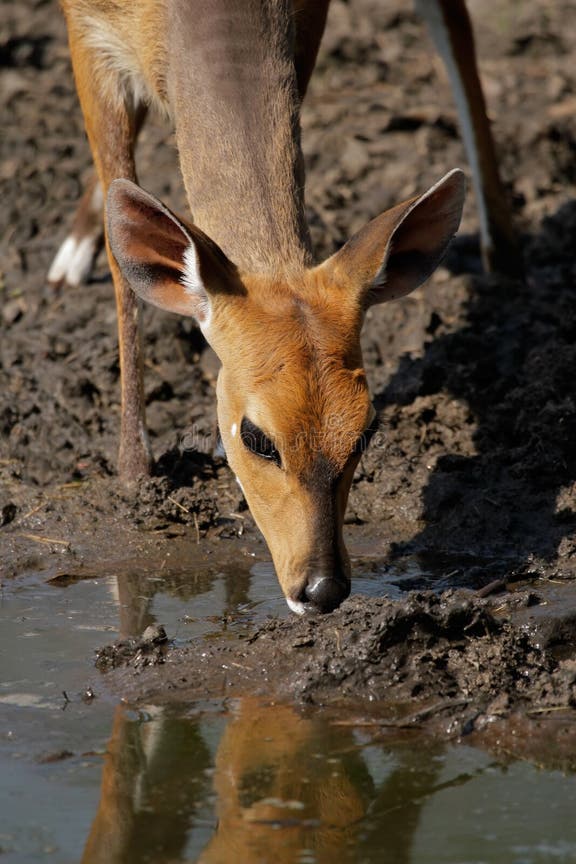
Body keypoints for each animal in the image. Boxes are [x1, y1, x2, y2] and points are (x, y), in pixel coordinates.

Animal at [50, 0, 515, 614]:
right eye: (255, 438)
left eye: (366, 430)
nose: (321, 588)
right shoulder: (86, 31)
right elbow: (122, 247)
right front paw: (134, 474)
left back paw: (505, 251)